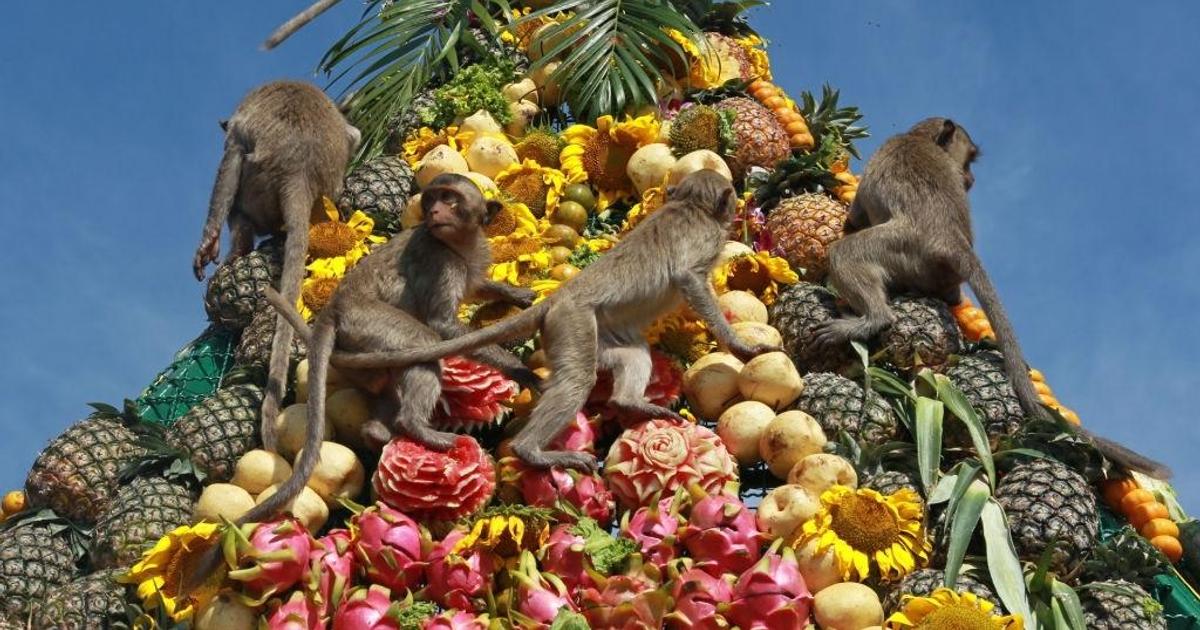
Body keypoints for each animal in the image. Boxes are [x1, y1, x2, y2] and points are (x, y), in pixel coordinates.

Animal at [192, 80, 360, 455]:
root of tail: (300, 174)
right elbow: (354, 135)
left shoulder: (237, 131)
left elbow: (230, 159)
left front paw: (208, 242)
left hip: (257, 188)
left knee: (236, 192)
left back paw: (237, 249)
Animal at [327, 169, 780, 471]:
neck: (689, 204)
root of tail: (557, 300)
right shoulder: (704, 241)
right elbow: (689, 279)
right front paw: (739, 344)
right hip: (572, 323)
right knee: (576, 380)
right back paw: (531, 451)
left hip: (592, 333)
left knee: (630, 356)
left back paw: (629, 402)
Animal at [813, 117, 1171, 479]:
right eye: (969, 160)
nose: (970, 178)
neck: (917, 137)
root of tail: (951, 240)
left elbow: (857, 216)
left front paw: (849, 220)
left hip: (901, 247)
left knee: (845, 254)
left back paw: (871, 319)